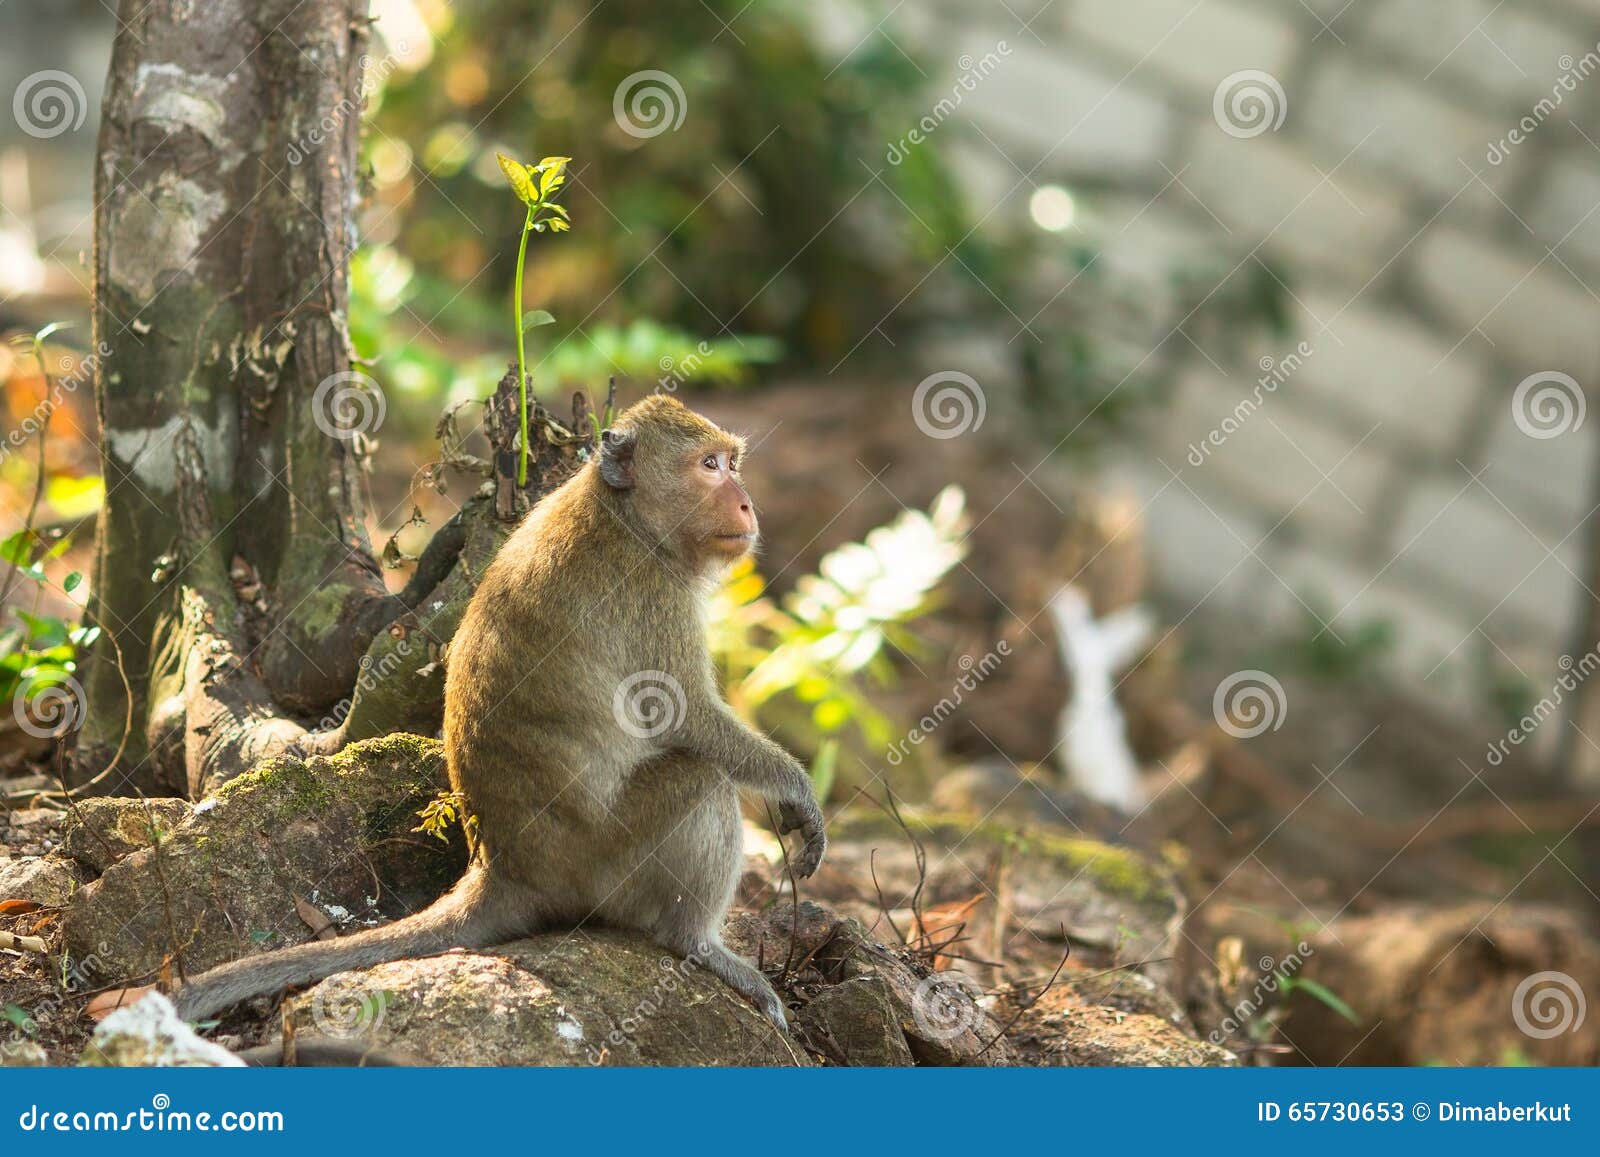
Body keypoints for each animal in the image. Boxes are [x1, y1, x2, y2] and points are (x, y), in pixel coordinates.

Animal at [169, 395, 826, 1031]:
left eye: (731, 463)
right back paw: (695, 942)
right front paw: (796, 789)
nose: (746, 504)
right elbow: (689, 717)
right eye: (709, 466)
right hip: (602, 866)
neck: (626, 518)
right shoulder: (654, 598)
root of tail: (502, 868)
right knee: (700, 778)